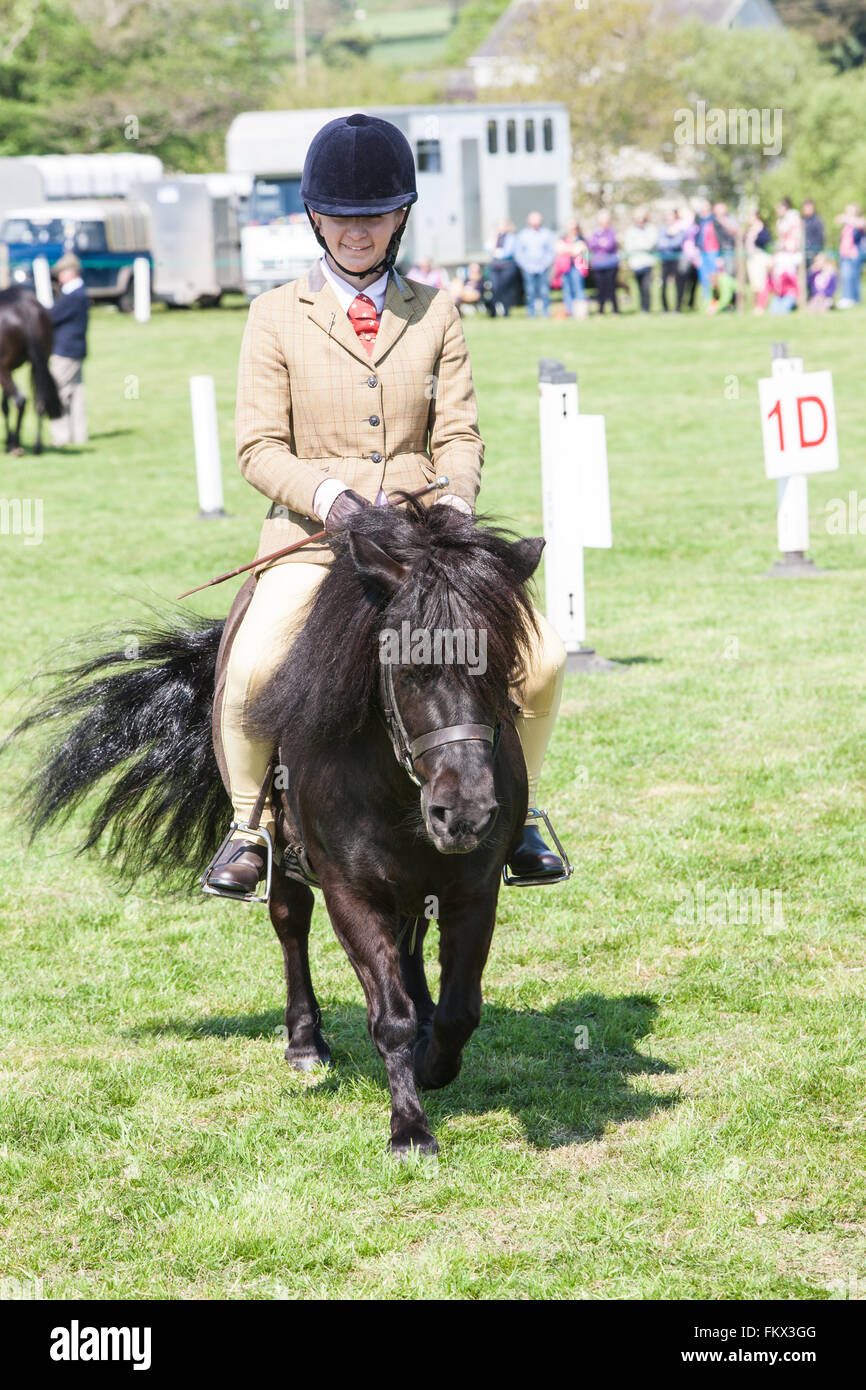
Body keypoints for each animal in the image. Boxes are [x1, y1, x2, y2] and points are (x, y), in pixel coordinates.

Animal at [0, 286, 63, 454]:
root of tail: (24, 306)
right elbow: (5, 405)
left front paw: (9, 440)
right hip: (39, 364)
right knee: (39, 401)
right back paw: (36, 446)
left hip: (4, 369)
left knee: (20, 401)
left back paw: (15, 445)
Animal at [13, 501, 545, 1156]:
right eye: (409, 668)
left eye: (503, 669)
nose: (465, 813)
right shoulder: (350, 892)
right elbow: (387, 1015)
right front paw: (410, 1127)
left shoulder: (473, 890)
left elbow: (460, 1010)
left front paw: (431, 1061)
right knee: (292, 926)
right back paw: (305, 1042)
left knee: (411, 944)